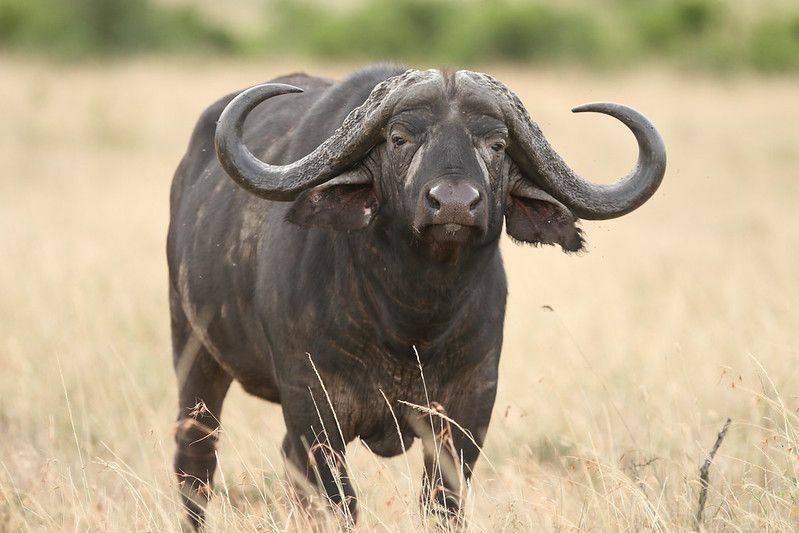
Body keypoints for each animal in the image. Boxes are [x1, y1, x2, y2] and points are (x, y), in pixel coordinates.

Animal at [169, 64, 668, 524]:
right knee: (196, 462)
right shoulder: (313, 406)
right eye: (399, 138)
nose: (453, 203)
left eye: (497, 144)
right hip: (194, 357)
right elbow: (340, 503)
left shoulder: (468, 410)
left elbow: (441, 504)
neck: (412, 319)